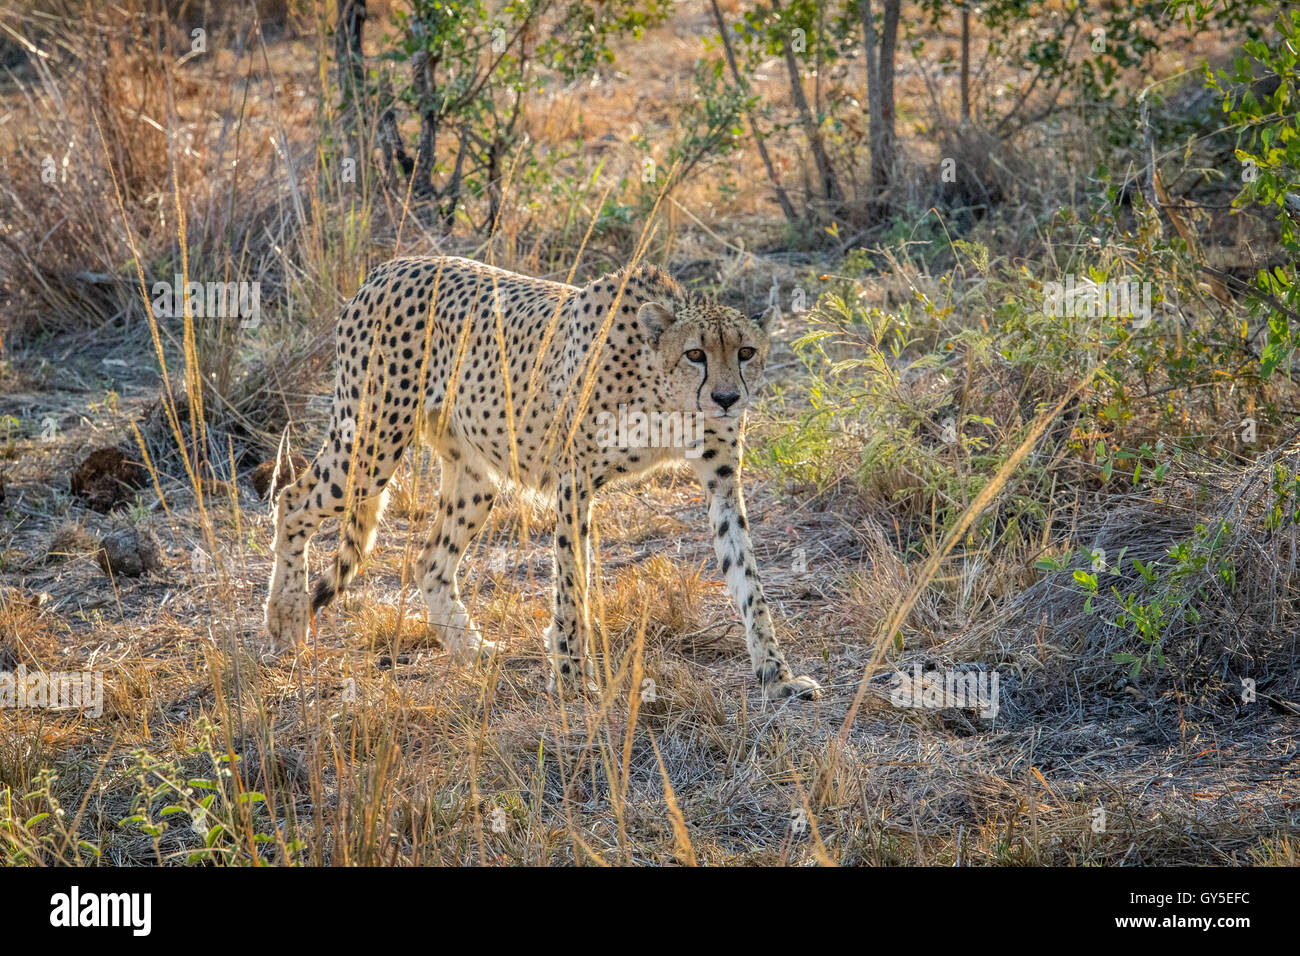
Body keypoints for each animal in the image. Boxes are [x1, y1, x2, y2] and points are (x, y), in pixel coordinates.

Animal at [263, 255, 823, 700]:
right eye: (696, 354)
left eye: (746, 352)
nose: (727, 398)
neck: (669, 399)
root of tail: (388, 266)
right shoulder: (575, 481)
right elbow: (572, 583)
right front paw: (573, 676)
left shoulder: (721, 480)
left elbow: (747, 576)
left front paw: (776, 674)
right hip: (372, 444)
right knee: (292, 500)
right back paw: (285, 621)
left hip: (475, 476)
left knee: (430, 562)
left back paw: (474, 649)